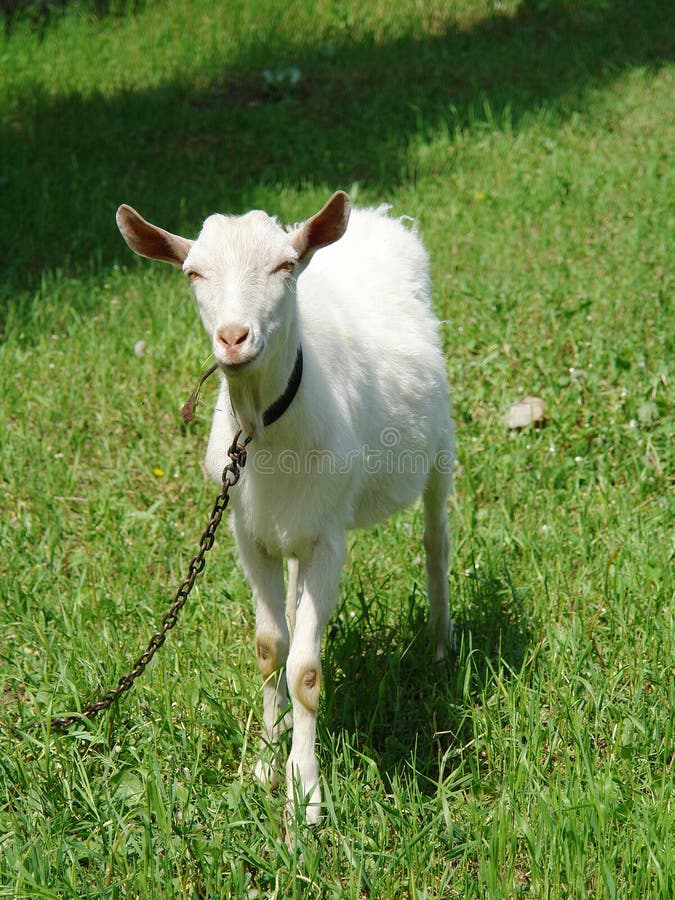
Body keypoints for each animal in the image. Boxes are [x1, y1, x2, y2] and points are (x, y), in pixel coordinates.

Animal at [116, 192, 454, 825]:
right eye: (193, 272)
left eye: (283, 266)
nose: (233, 337)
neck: (264, 430)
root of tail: (378, 217)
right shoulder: (246, 531)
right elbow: (271, 648)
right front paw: (267, 764)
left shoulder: (329, 537)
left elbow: (306, 670)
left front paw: (306, 794)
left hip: (440, 445)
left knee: (435, 541)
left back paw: (443, 646)